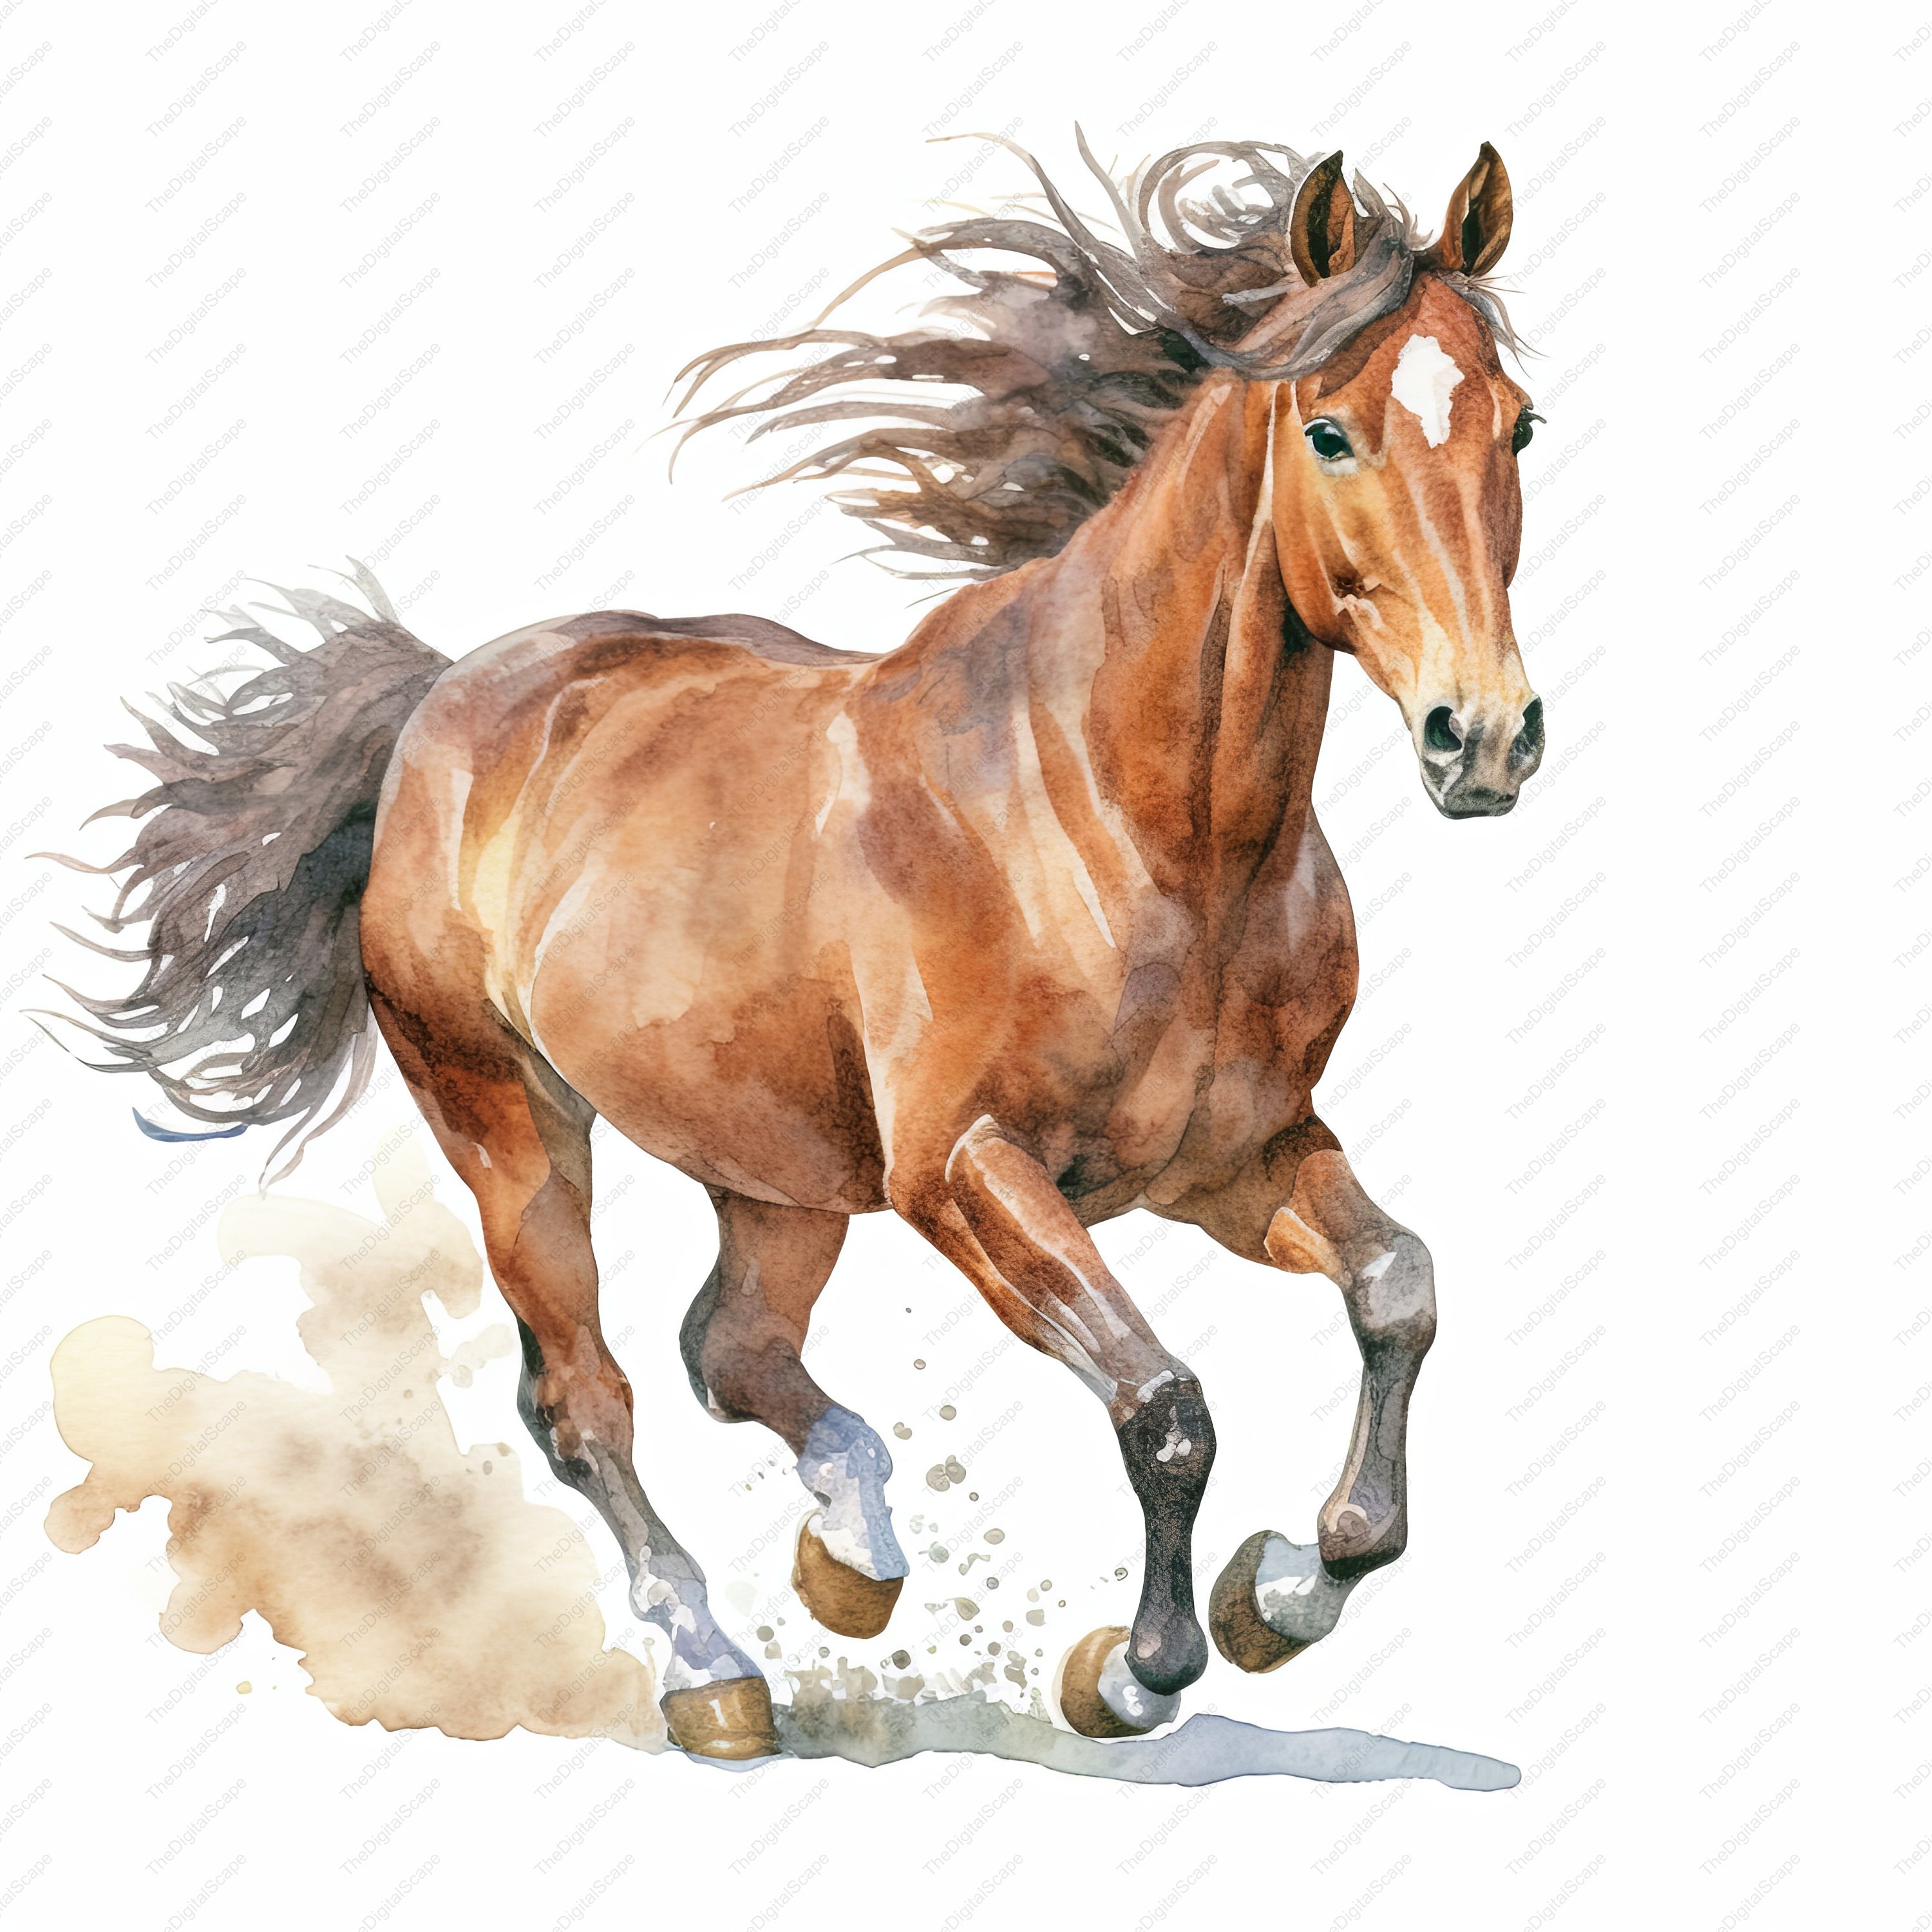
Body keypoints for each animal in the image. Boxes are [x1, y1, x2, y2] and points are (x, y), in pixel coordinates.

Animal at [54, 136, 1548, 1760]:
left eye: (1521, 426)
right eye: (1330, 432)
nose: (1483, 737)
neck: (1133, 829)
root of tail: (444, 697)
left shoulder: (1233, 1156)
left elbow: (1397, 1290)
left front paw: (1287, 1587)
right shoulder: (969, 1172)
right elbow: (1164, 1405)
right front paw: (1139, 1664)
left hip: (778, 1171)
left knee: (732, 1348)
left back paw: (854, 1558)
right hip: (509, 1122)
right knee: (587, 1399)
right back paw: (714, 1670)